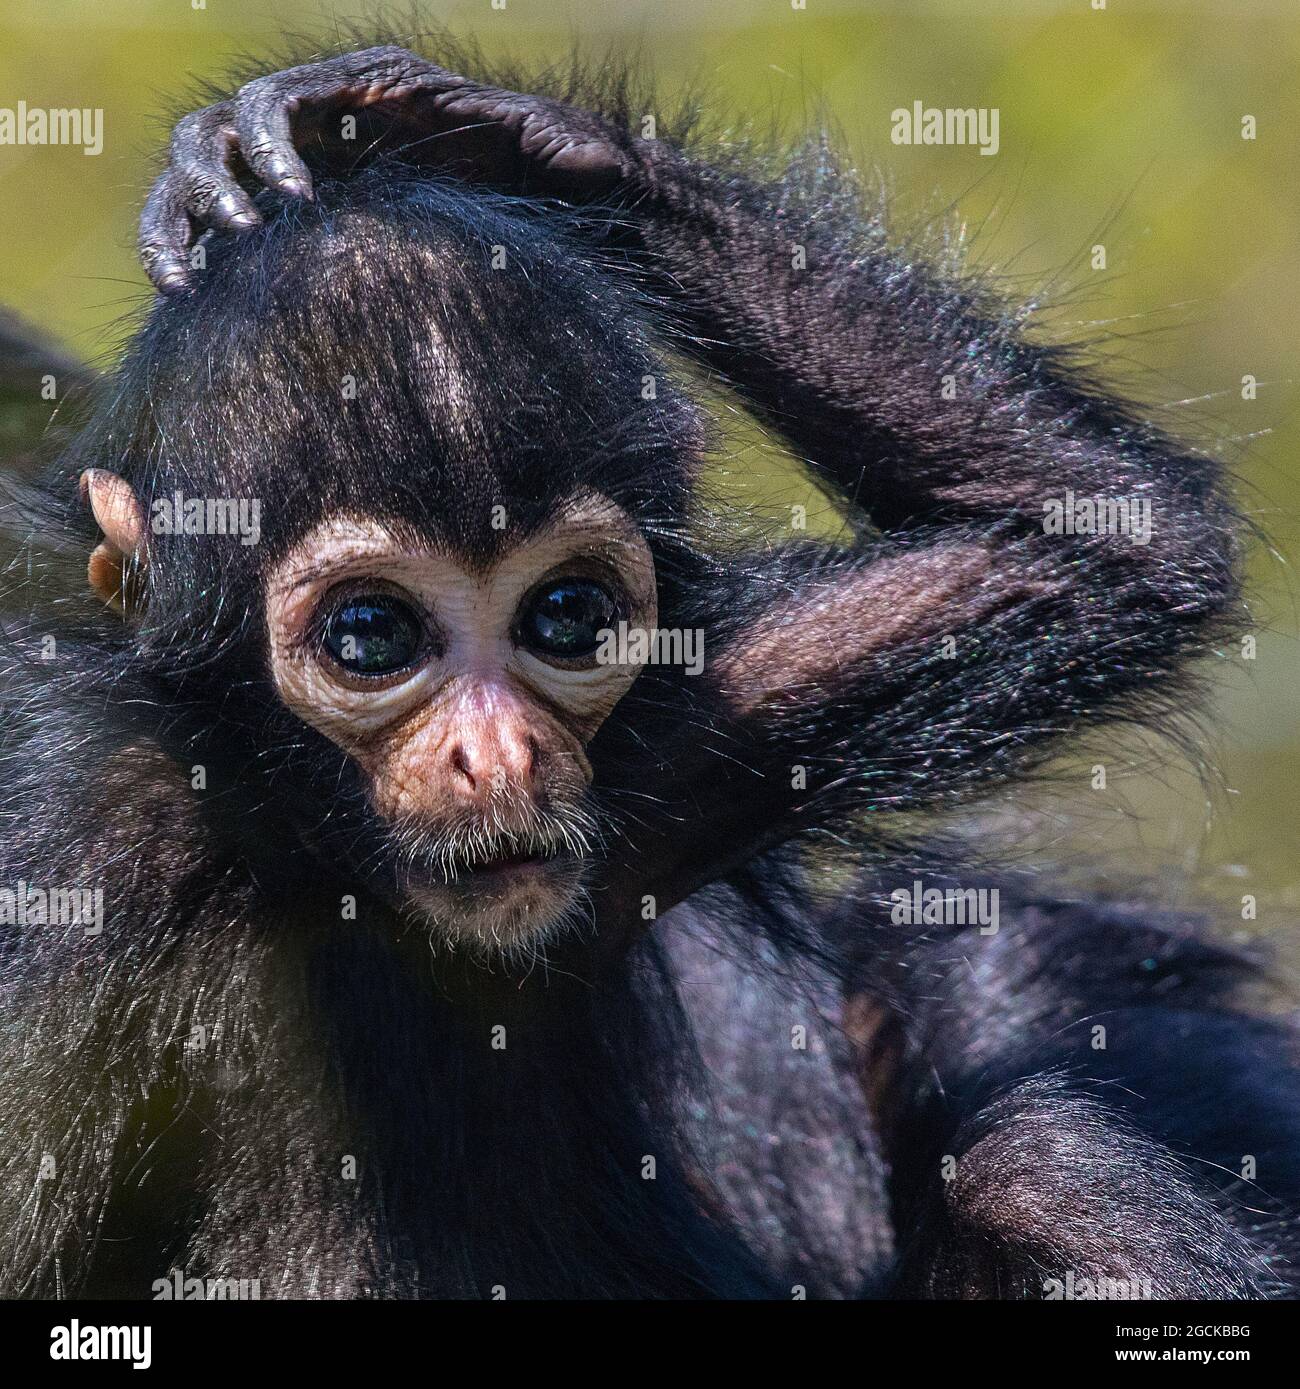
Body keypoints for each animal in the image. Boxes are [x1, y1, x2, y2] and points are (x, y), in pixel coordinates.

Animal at [2, 37, 1299, 1301]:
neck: (328, 866)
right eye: (370, 638)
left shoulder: (677, 741)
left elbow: (1109, 549)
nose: (498, 750)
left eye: (566, 618)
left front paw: (465, 127)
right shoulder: (102, 867)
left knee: (1042, 1165)